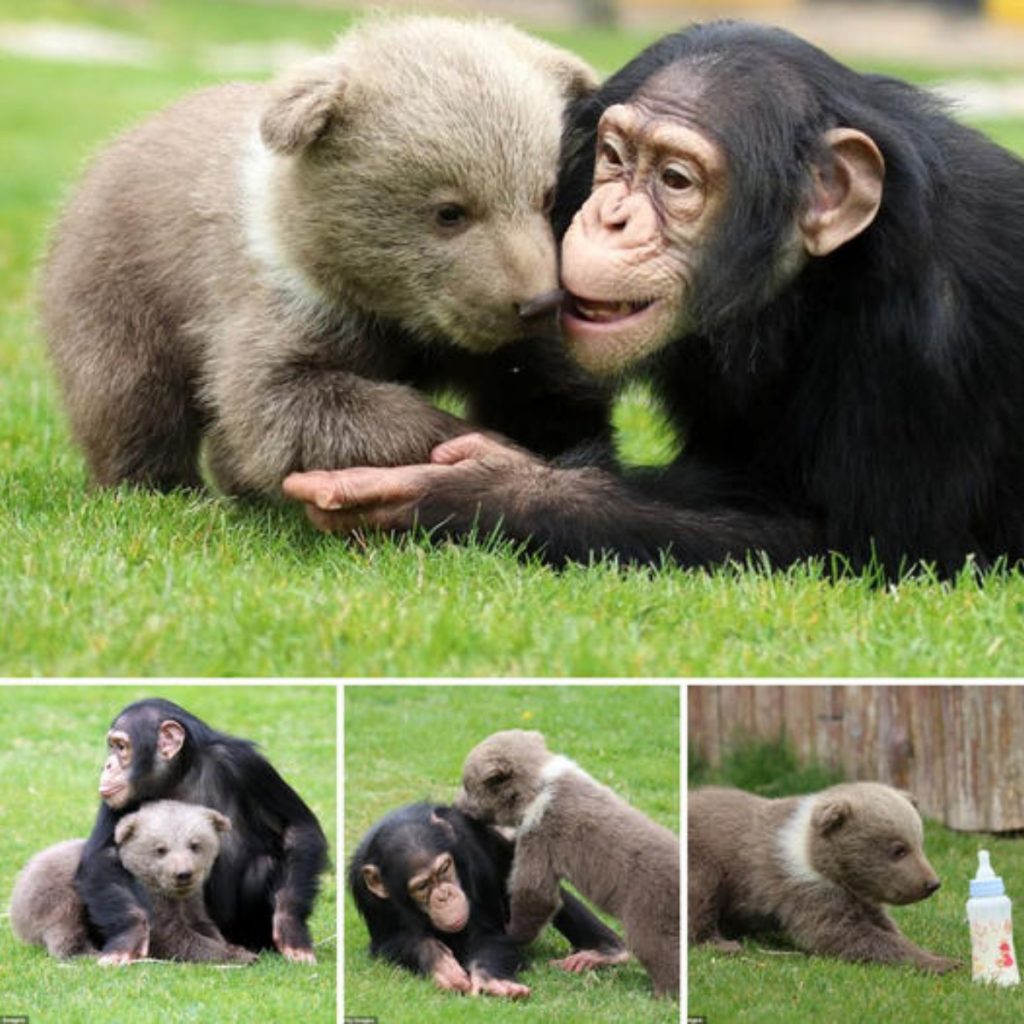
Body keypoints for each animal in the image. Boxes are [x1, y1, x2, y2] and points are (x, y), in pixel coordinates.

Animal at [10, 800, 255, 964]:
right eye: (160, 849)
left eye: (195, 845)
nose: (183, 874)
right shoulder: (147, 901)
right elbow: (173, 938)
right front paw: (241, 954)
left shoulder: (193, 902)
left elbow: (204, 926)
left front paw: (231, 945)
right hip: (55, 893)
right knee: (65, 926)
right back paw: (88, 952)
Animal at [40, 15, 610, 498]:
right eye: (450, 211)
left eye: (546, 195)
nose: (535, 302)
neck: (397, 310)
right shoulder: (294, 303)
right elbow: (282, 399)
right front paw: (467, 438)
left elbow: (538, 384)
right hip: (123, 277)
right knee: (129, 391)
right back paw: (158, 484)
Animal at [454, 729, 680, 998]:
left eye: (467, 785)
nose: (457, 804)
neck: (537, 790)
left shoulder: (541, 834)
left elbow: (535, 891)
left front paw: (512, 932)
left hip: (648, 906)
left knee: (655, 948)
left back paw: (662, 993)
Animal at [688, 783, 960, 972]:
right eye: (898, 850)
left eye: (920, 844)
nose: (932, 883)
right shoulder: (804, 890)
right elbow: (843, 934)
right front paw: (943, 963)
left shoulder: (859, 894)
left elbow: (885, 926)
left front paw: (934, 954)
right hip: (704, 863)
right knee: (701, 897)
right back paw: (723, 943)